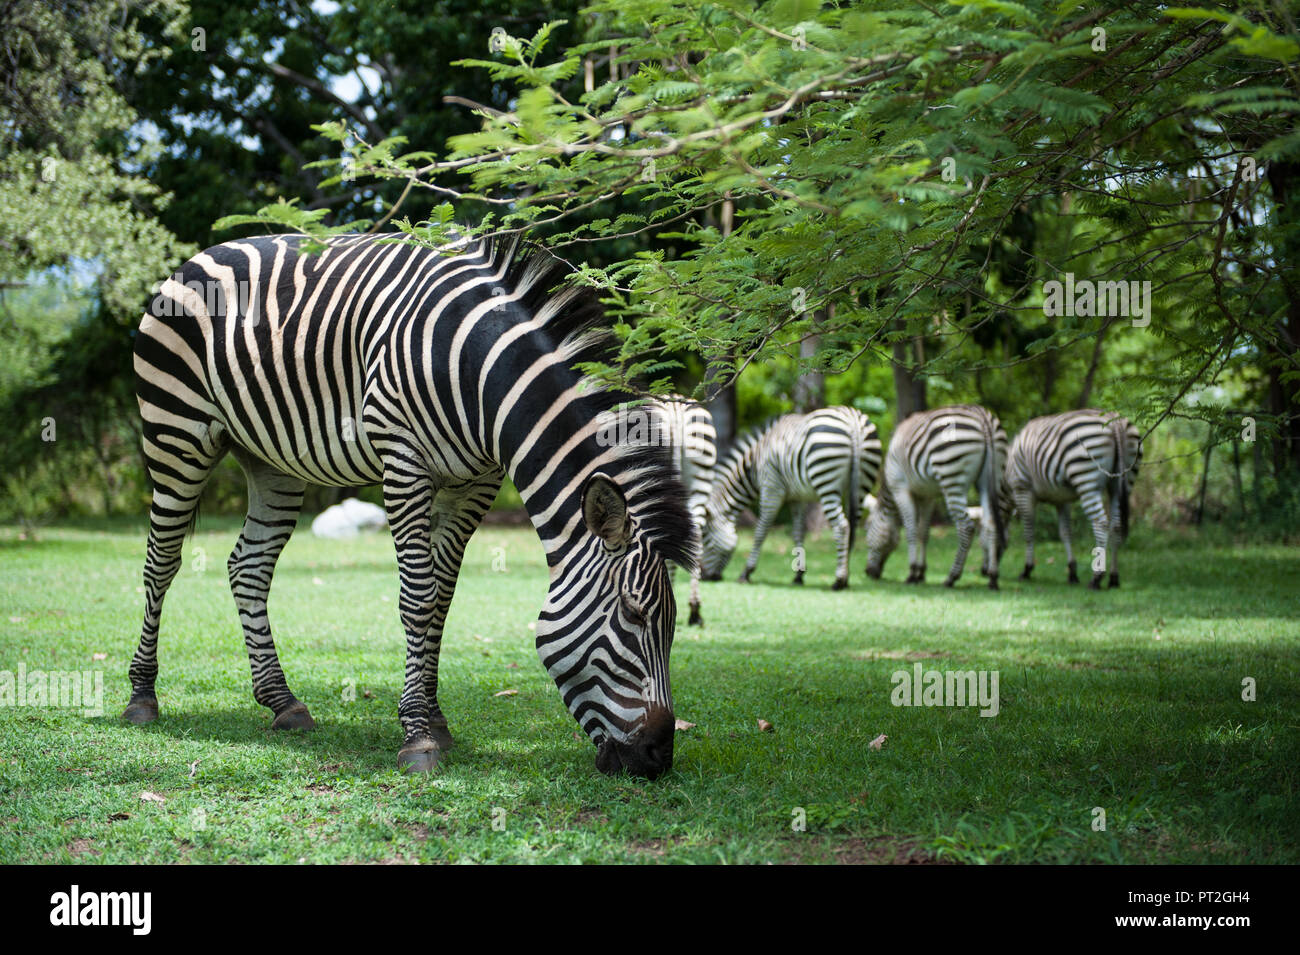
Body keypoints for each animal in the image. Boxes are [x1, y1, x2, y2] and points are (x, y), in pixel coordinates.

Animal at [125, 232, 695, 779]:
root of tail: (202, 254)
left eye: (673, 625)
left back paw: (283, 702)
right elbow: (417, 599)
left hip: (272, 460)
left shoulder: (476, 483)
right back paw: (141, 697)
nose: (658, 758)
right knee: (161, 562)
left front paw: (435, 720)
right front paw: (418, 737)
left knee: (248, 567)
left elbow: (441, 598)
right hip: (175, 432)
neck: (479, 375)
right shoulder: (403, 464)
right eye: (633, 614)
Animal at [699, 407, 882, 590]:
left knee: (842, 526)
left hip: (826, 481)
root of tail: (853, 421)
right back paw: (846, 575)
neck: (753, 467)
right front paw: (798, 576)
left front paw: (746, 572)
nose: (703, 576)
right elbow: (798, 532)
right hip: (862, 485)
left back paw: (839, 579)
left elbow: (761, 531)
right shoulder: (797, 497)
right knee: (852, 526)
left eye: (705, 538)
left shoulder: (771, 488)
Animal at [864, 404, 1007, 589]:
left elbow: (910, 530)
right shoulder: (928, 495)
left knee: (966, 527)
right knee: (990, 524)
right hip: (991, 480)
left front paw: (912, 573)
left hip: (952, 478)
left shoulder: (900, 488)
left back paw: (952, 577)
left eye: (867, 527)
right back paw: (992, 577)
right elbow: (923, 532)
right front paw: (921, 573)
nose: (868, 572)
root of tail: (982, 415)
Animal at [1002, 409, 1142, 589]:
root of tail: (1115, 422)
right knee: (1116, 526)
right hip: (1122, 482)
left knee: (1101, 523)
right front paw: (1072, 572)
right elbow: (1065, 532)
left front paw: (1027, 570)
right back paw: (1113, 578)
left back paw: (1096, 578)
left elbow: (1028, 531)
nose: (984, 571)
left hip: (1086, 478)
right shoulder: (1061, 498)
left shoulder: (1023, 489)